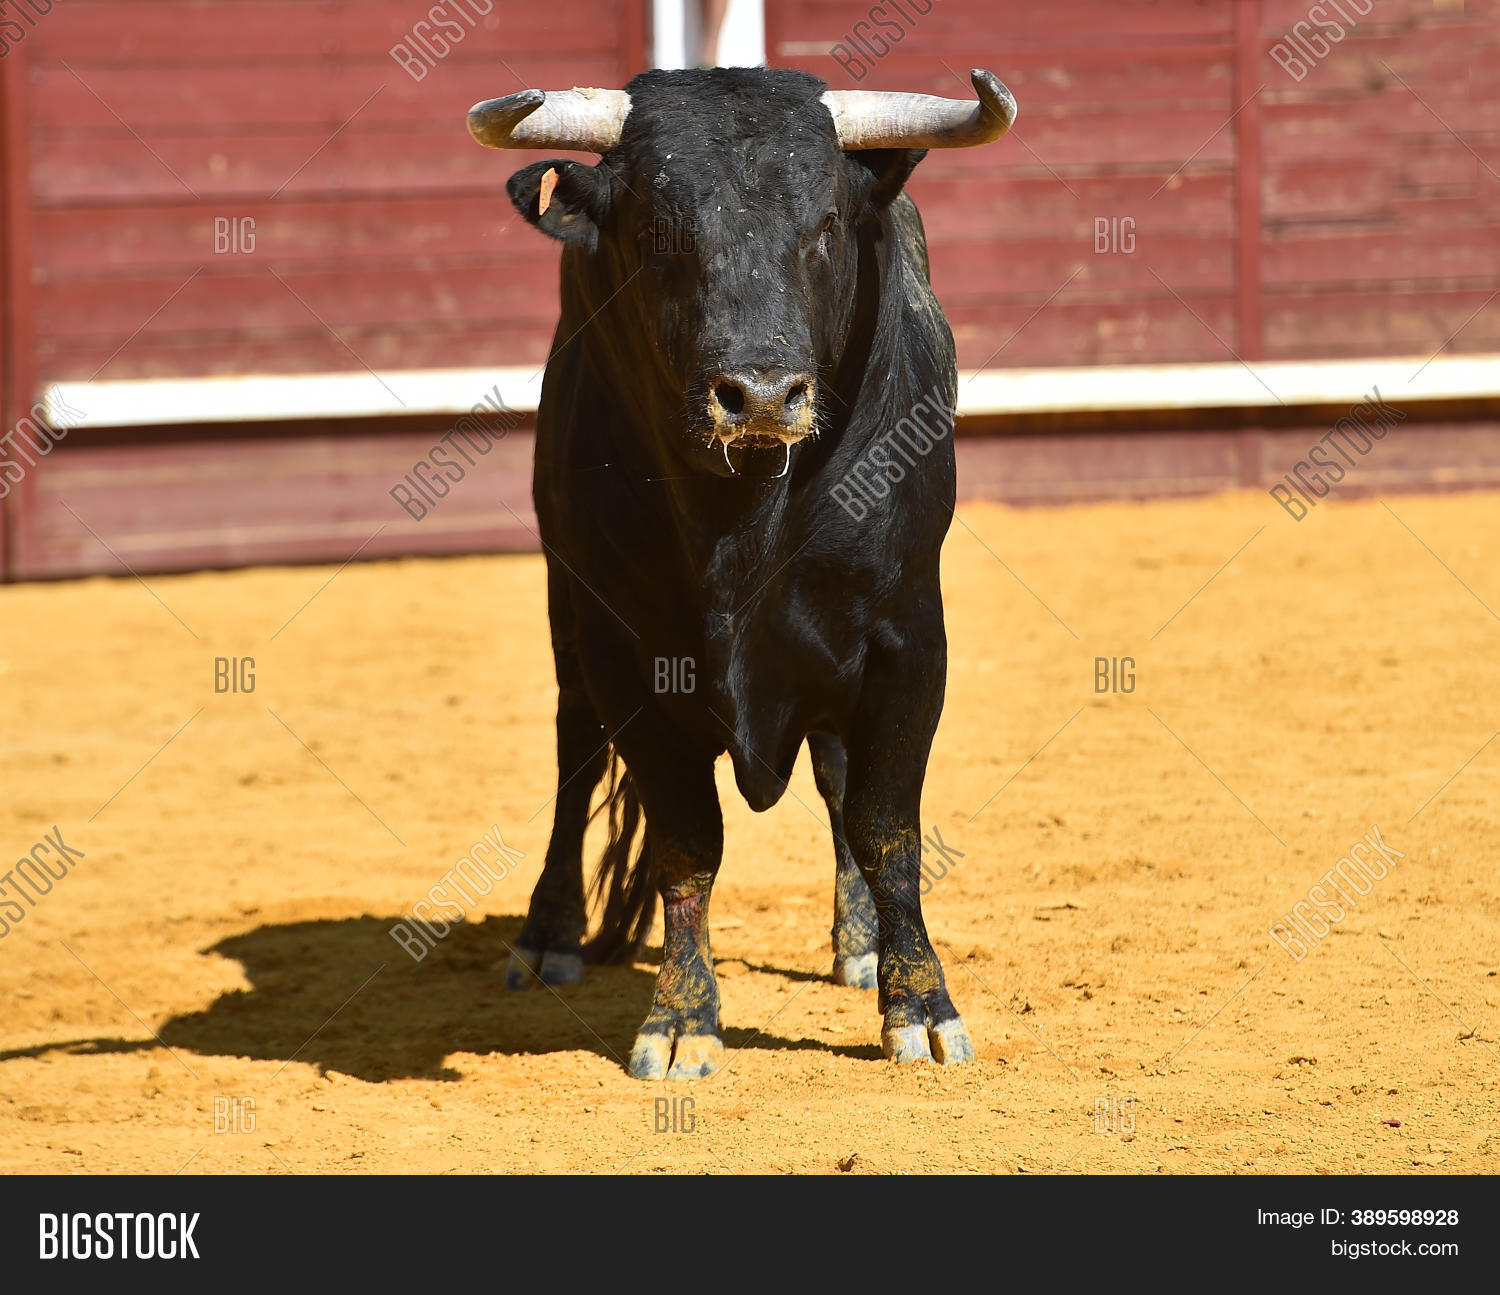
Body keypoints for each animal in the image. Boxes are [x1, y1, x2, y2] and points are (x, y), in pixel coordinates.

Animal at [468, 66, 1016, 1079]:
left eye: (828, 221)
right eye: (656, 228)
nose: (761, 395)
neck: (742, 514)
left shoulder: (907, 641)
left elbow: (886, 826)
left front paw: (919, 1003)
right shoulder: (623, 651)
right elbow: (687, 841)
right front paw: (682, 1018)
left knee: (837, 780)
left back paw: (858, 940)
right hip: (569, 620)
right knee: (574, 753)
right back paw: (548, 936)